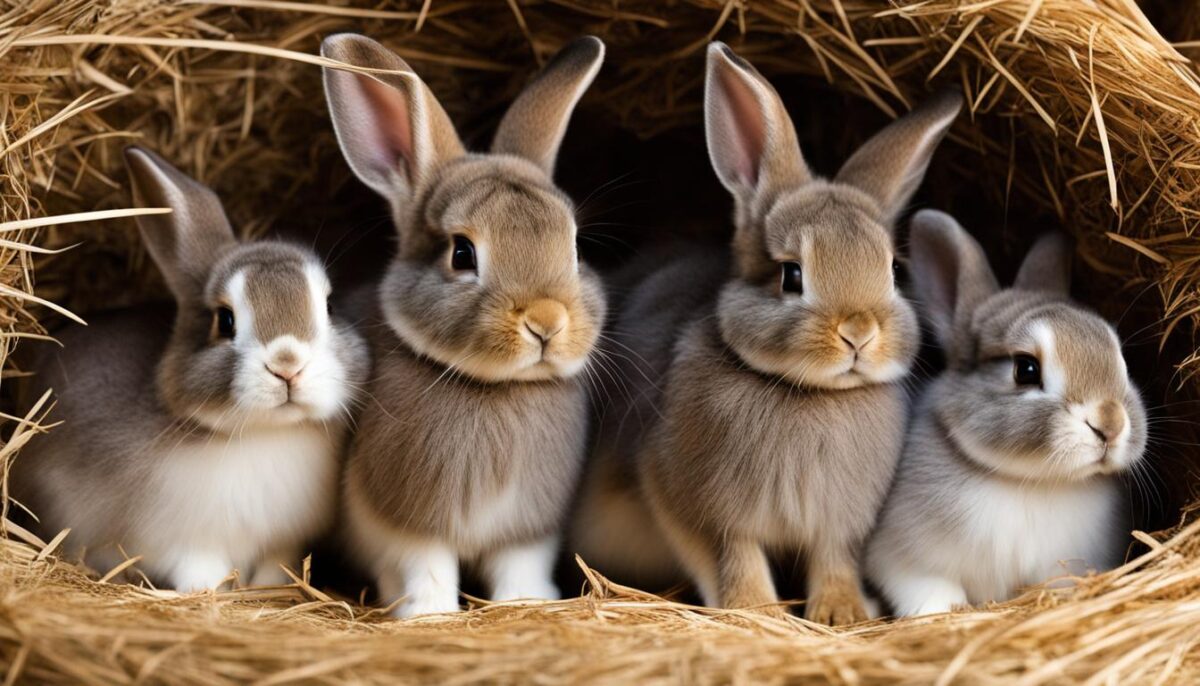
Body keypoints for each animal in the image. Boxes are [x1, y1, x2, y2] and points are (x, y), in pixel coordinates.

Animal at [10, 147, 370, 592]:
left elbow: (273, 569)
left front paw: (266, 589)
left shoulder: (281, 545)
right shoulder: (184, 544)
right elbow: (200, 571)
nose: (287, 365)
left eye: (330, 307)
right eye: (224, 320)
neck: (266, 433)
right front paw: (209, 590)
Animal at [320, 34, 607, 617]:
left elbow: (519, 568)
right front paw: (427, 614)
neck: (498, 389)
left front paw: (527, 603)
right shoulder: (406, 528)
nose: (546, 321)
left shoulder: (526, 531)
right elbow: (425, 568)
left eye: (573, 247)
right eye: (462, 253)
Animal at [572, 42, 962, 625]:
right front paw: (754, 610)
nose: (858, 332)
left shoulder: (838, 525)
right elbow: (735, 557)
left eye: (893, 270)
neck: (811, 395)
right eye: (791, 275)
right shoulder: (701, 507)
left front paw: (842, 614)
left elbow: (833, 559)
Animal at [864, 210, 1148, 617]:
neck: (1030, 481)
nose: (1110, 425)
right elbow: (931, 593)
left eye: (1120, 359)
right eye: (1025, 369)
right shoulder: (906, 563)